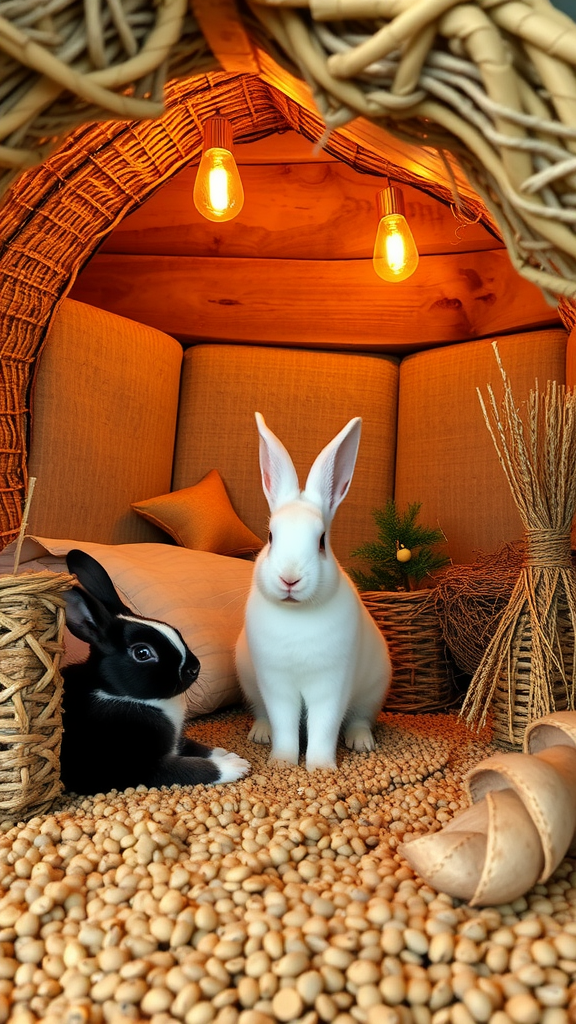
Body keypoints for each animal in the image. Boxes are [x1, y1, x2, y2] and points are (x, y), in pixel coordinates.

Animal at [60, 549, 250, 794]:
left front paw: (224, 753)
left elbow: (193, 746)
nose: (194, 668)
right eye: (142, 653)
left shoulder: (176, 741)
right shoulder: (140, 767)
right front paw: (235, 765)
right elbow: (189, 769)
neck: (119, 694)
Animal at [235, 413, 391, 772]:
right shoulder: (276, 684)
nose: (289, 579)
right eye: (270, 537)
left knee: (359, 719)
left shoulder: (332, 685)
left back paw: (361, 742)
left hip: (373, 690)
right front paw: (281, 763)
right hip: (249, 683)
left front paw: (321, 767)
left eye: (321, 542)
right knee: (263, 714)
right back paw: (260, 734)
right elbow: (284, 724)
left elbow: (325, 726)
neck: (297, 614)